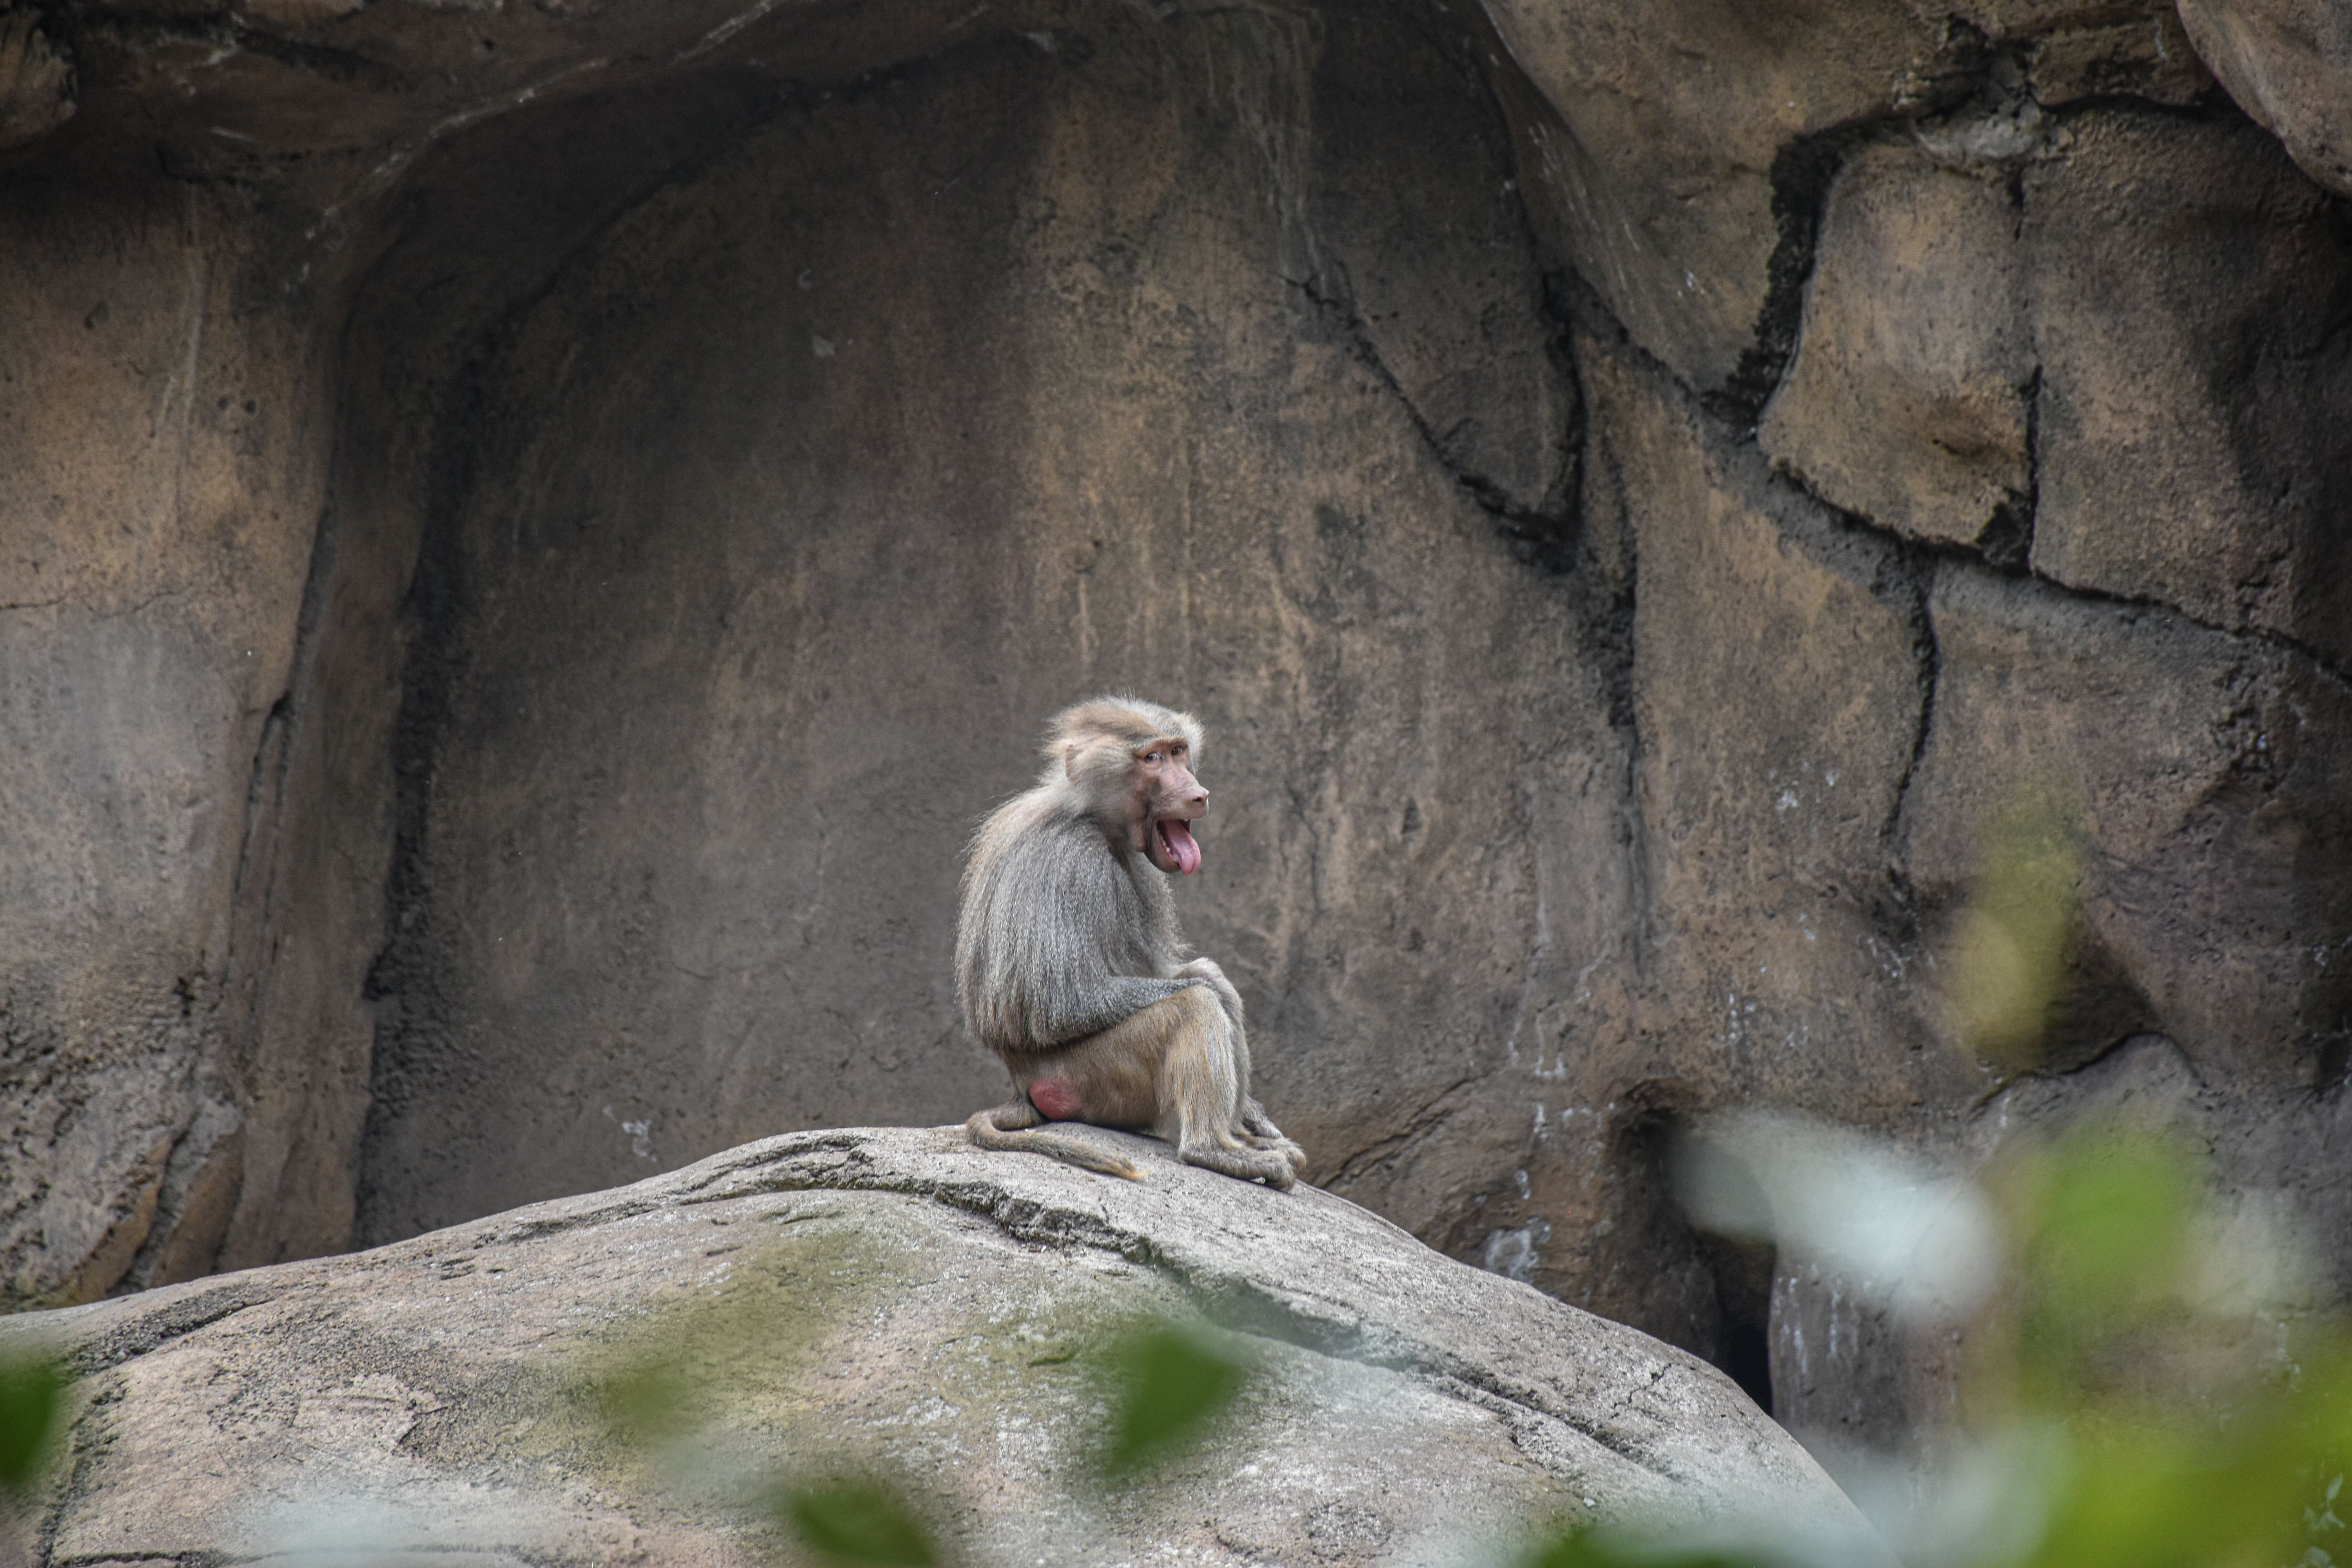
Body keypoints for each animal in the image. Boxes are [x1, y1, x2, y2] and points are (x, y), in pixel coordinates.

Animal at [957, 696, 1306, 1189]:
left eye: (1179, 751)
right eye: (1151, 758)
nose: (1199, 795)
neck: (1093, 818)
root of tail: (1021, 1088)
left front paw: (1256, 1117)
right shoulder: (1075, 865)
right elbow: (1062, 1005)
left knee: (1204, 977)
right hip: (1094, 1078)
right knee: (1193, 1004)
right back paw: (1216, 1151)